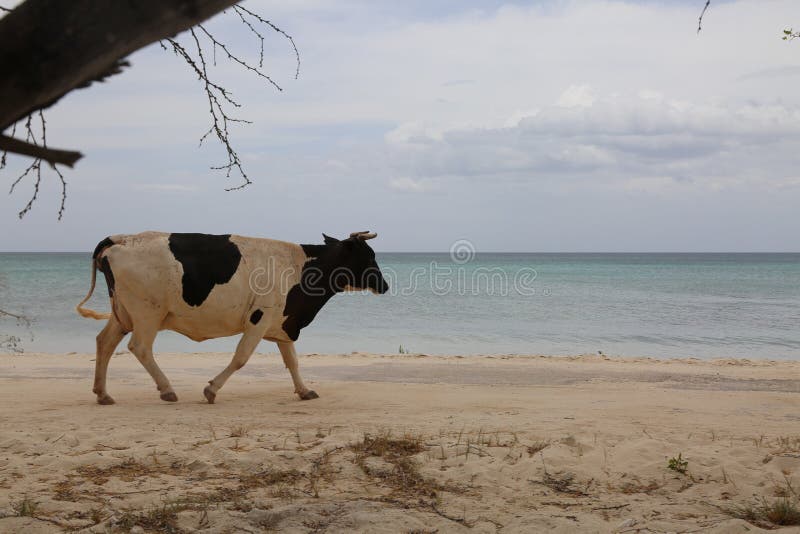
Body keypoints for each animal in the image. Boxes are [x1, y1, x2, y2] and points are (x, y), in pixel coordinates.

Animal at [76, 231, 389, 405]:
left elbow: (292, 361)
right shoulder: (259, 319)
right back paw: (167, 390)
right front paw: (211, 389)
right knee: (139, 347)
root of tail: (121, 239)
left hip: (124, 313)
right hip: (147, 312)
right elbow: (241, 357)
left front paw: (304, 390)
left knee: (104, 342)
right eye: (369, 256)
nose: (385, 285)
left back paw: (102, 394)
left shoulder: (281, 321)